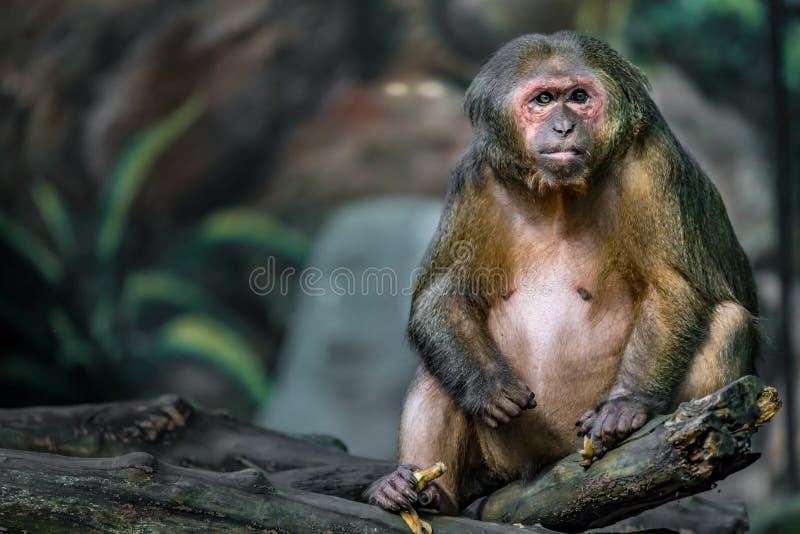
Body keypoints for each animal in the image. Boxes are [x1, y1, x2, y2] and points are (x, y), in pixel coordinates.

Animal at [363, 31, 759, 515]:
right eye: (544, 99)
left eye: (579, 98)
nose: (564, 127)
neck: (559, 195)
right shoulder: (477, 176)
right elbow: (443, 296)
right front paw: (486, 385)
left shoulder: (654, 165)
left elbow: (672, 286)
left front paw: (627, 404)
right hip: (506, 454)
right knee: (438, 368)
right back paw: (423, 492)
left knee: (730, 322)